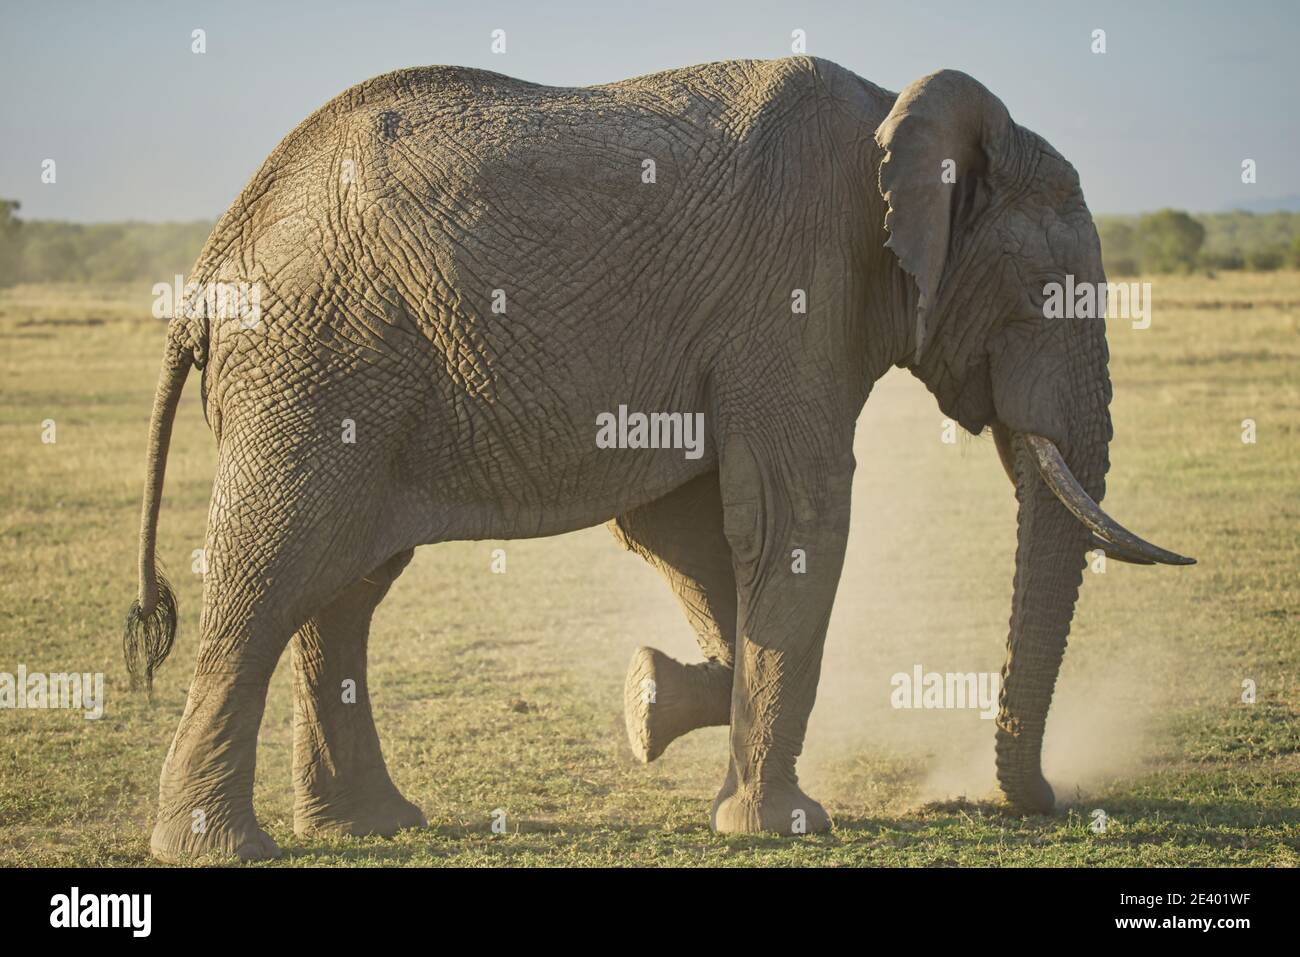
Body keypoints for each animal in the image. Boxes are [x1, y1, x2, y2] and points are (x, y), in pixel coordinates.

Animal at [123, 56, 1193, 862]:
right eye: (1051, 292)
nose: (1034, 799)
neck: (902, 117)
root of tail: (210, 265)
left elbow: (685, 528)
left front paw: (648, 701)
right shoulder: (796, 290)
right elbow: (796, 514)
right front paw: (781, 825)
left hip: (352, 382)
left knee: (344, 593)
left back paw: (371, 826)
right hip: (321, 367)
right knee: (276, 575)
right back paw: (220, 847)